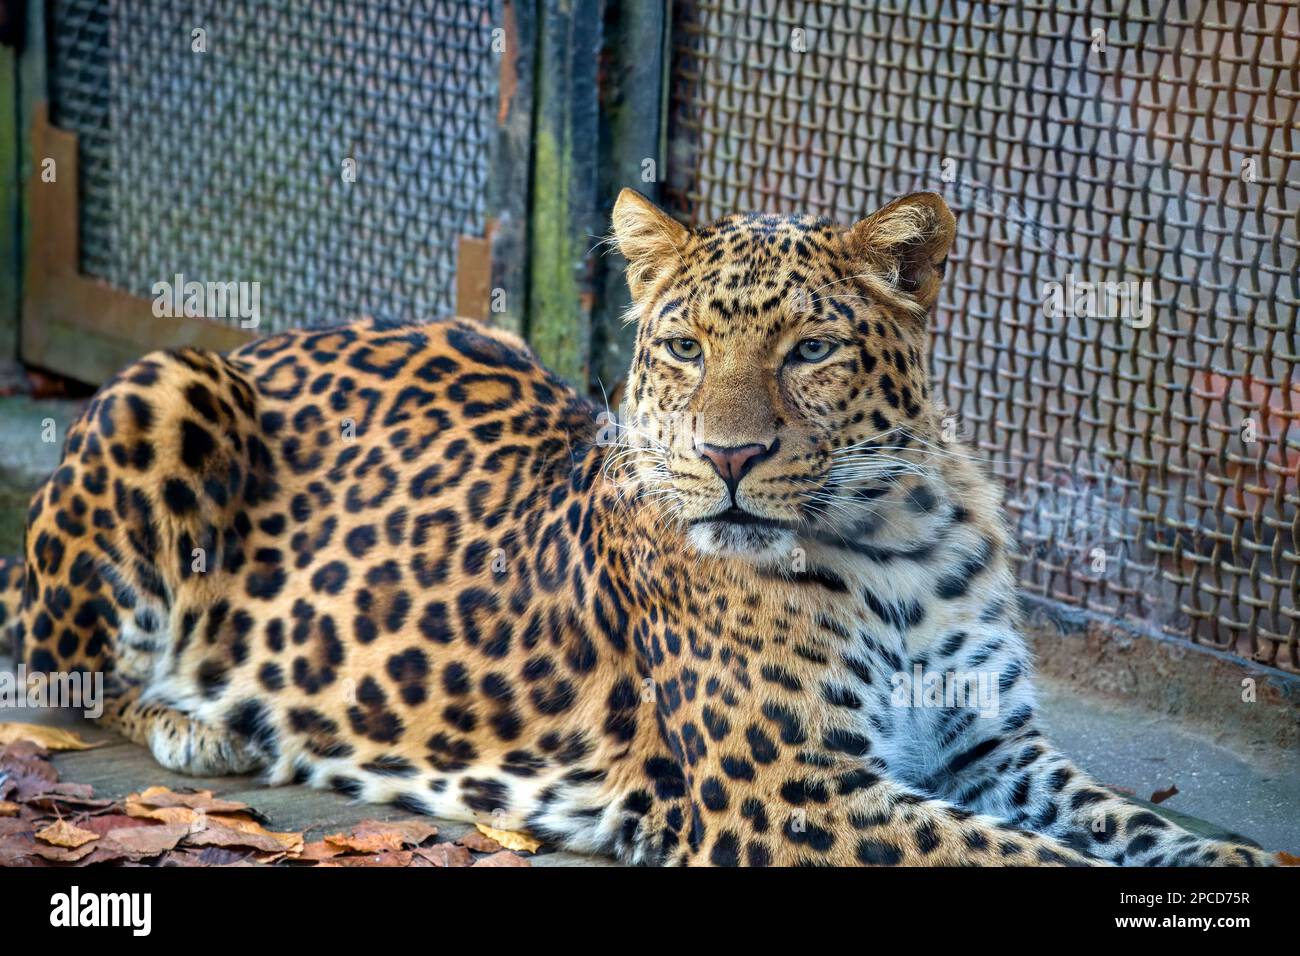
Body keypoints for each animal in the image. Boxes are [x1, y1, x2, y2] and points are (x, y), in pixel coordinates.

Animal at [0, 187, 1276, 866]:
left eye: (811, 349)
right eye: (681, 346)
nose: (729, 458)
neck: (894, 534)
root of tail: (267, 339)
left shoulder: (984, 744)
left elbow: (1110, 817)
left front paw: (1233, 855)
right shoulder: (795, 790)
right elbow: (1014, 856)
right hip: (168, 383)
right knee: (64, 666)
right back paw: (200, 722)